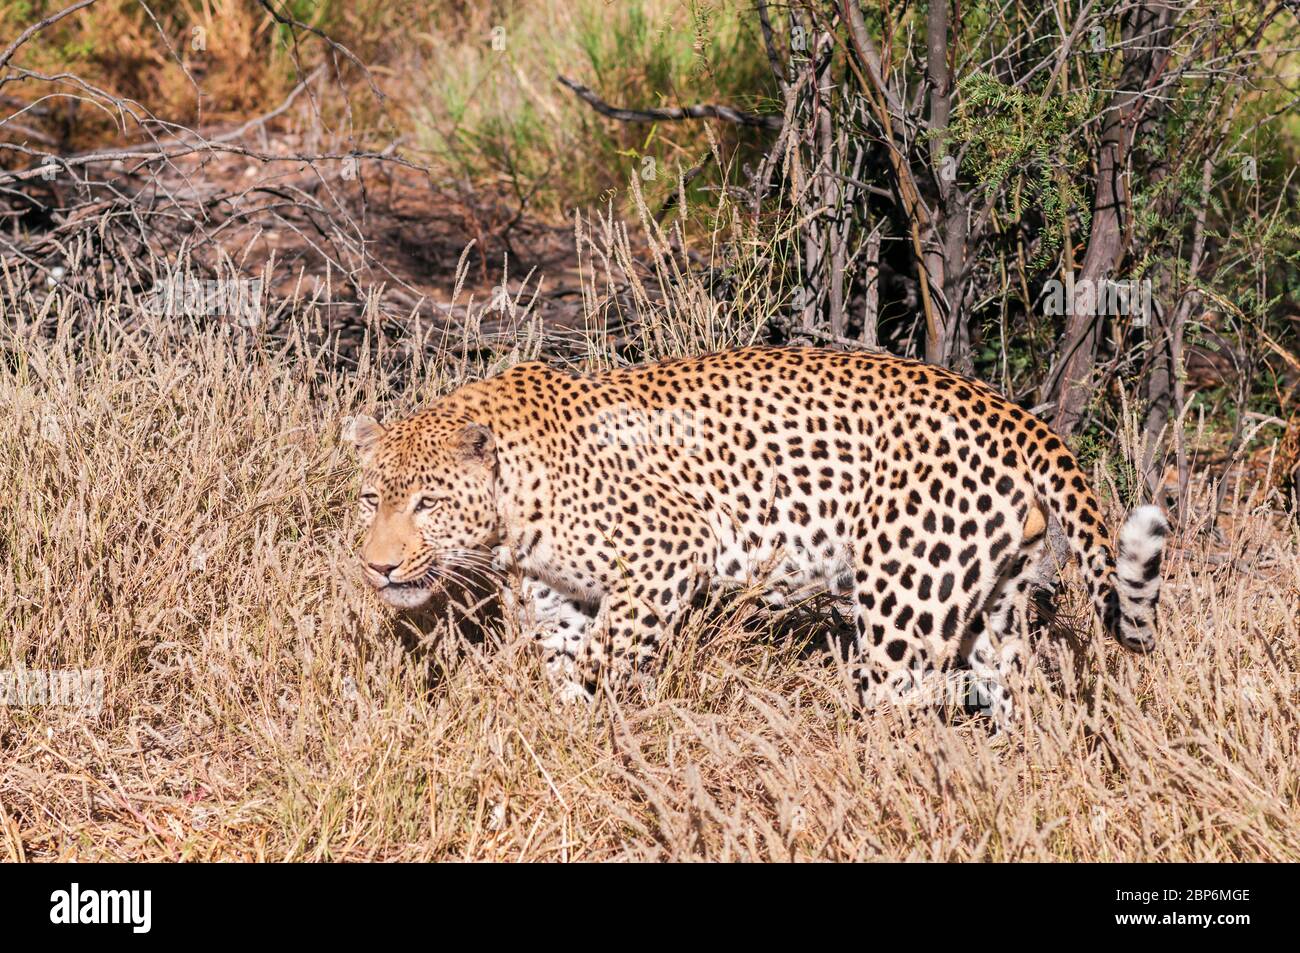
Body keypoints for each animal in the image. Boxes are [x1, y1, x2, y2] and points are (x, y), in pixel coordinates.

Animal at [348, 345, 1168, 728]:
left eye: (427, 502)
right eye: (370, 499)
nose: (379, 568)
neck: (514, 505)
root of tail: (1012, 410)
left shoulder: (669, 548)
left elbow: (608, 659)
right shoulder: (560, 599)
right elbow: (565, 672)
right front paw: (571, 737)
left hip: (903, 602)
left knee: (899, 702)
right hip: (987, 598)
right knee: (1018, 692)